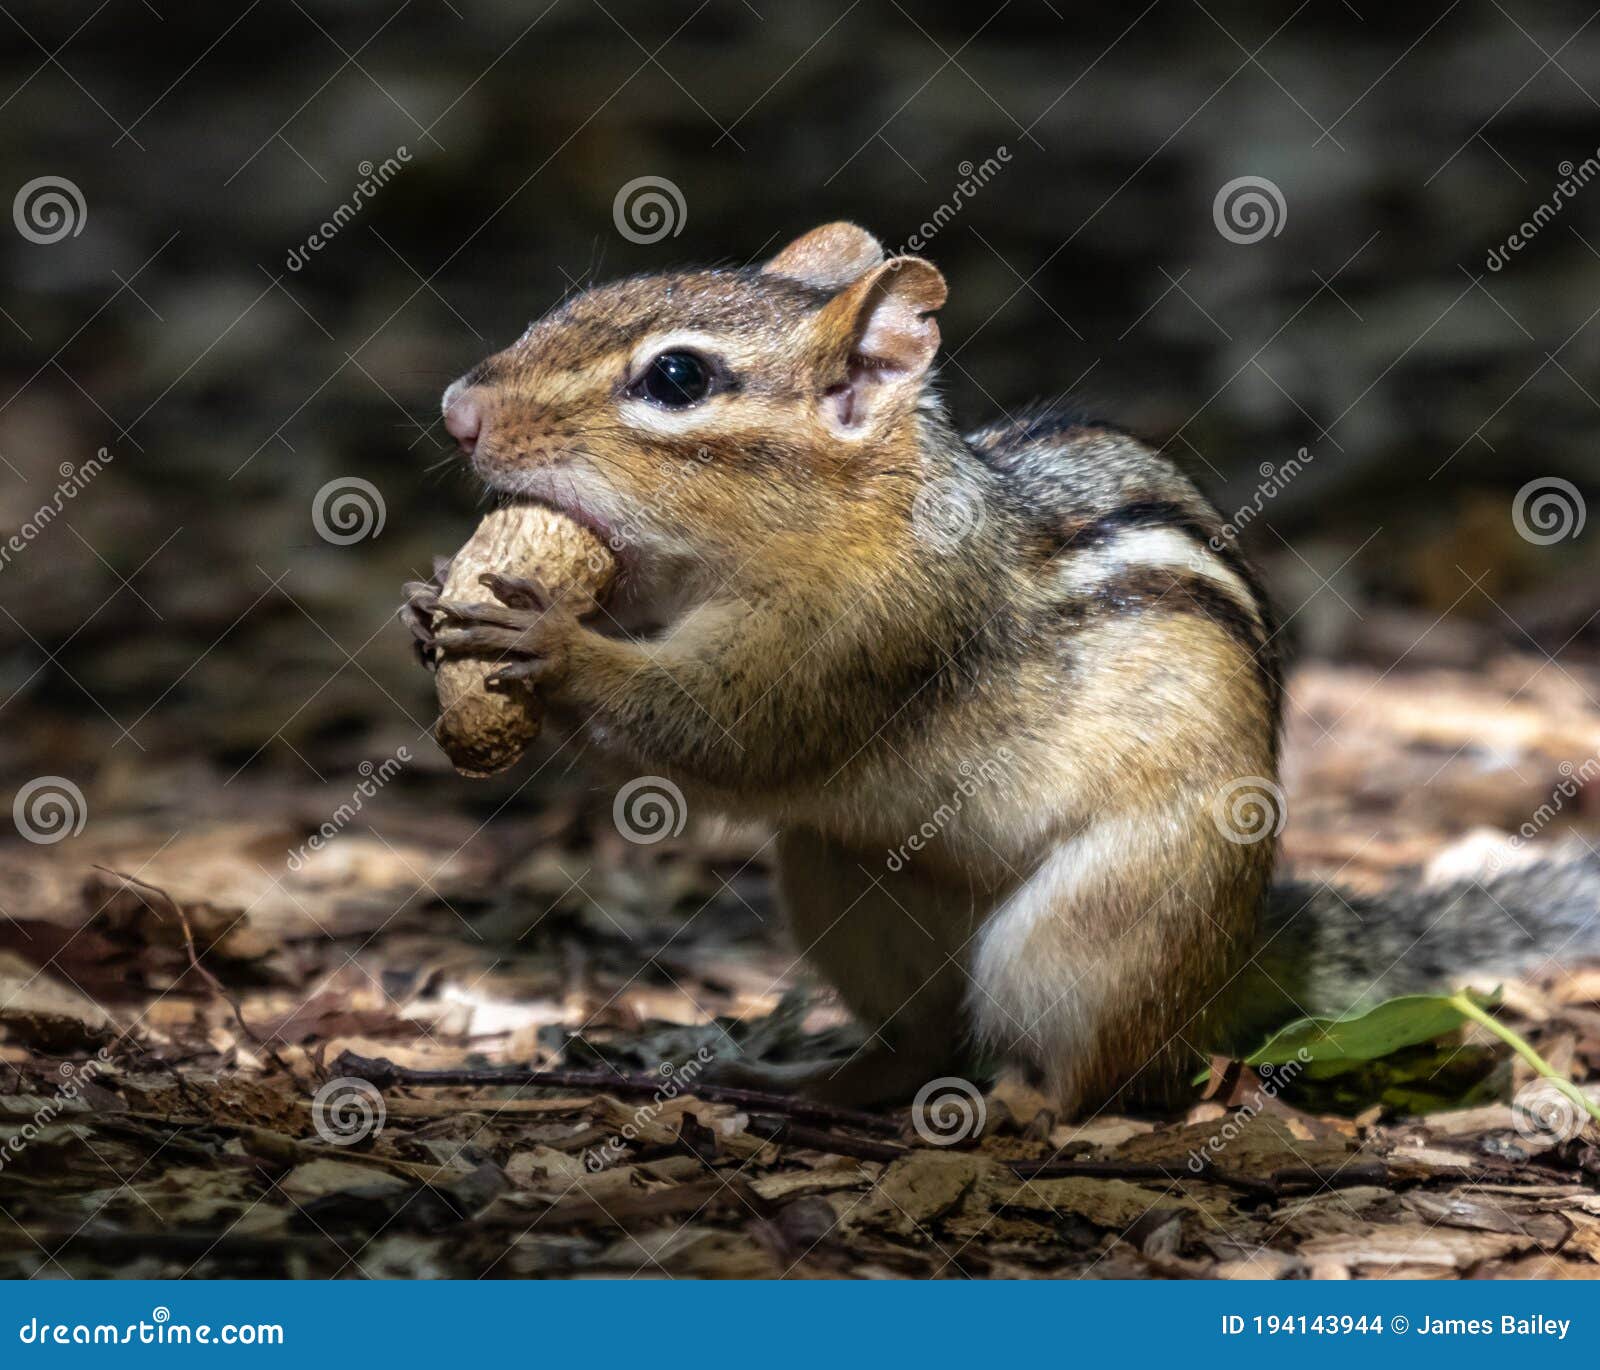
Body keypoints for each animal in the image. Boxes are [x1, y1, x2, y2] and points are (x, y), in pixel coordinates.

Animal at [404, 222, 1600, 1116]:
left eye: (677, 376)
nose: (456, 411)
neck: (847, 519)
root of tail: (1232, 954)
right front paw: (429, 603)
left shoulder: (865, 638)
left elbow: (725, 728)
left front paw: (552, 644)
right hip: (842, 881)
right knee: (925, 1037)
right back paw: (817, 1078)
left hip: (1089, 935)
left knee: (1086, 1070)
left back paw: (1011, 1111)